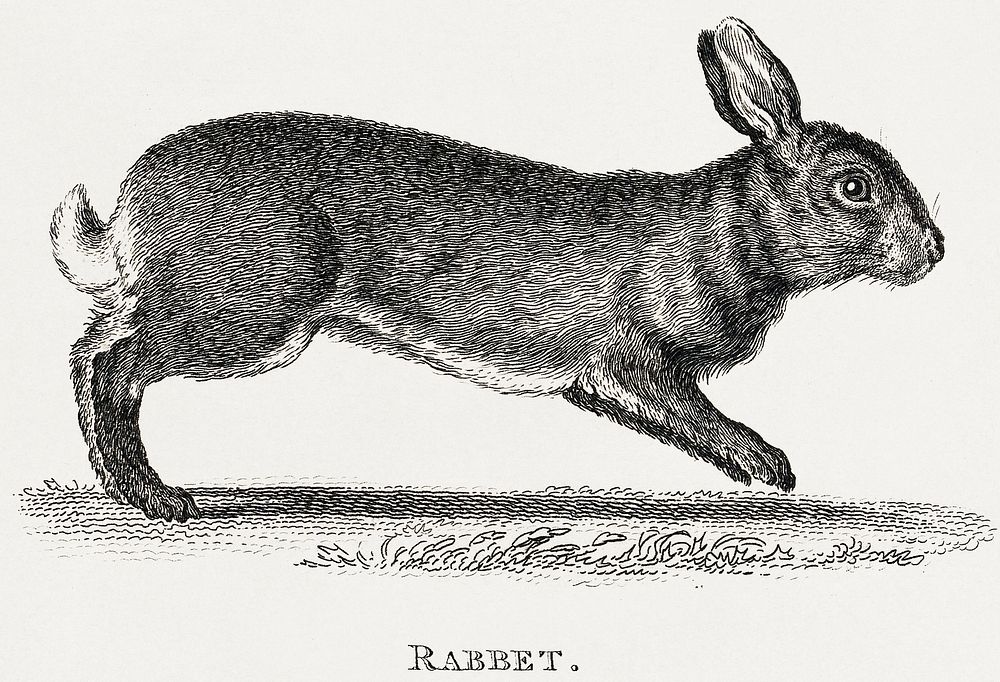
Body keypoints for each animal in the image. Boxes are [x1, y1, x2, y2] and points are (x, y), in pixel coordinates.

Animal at [50, 17, 944, 521]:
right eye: (854, 187)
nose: (935, 249)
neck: (729, 227)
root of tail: (132, 196)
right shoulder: (631, 362)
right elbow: (693, 411)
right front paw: (769, 467)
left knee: (95, 342)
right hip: (248, 312)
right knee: (112, 362)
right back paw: (158, 500)